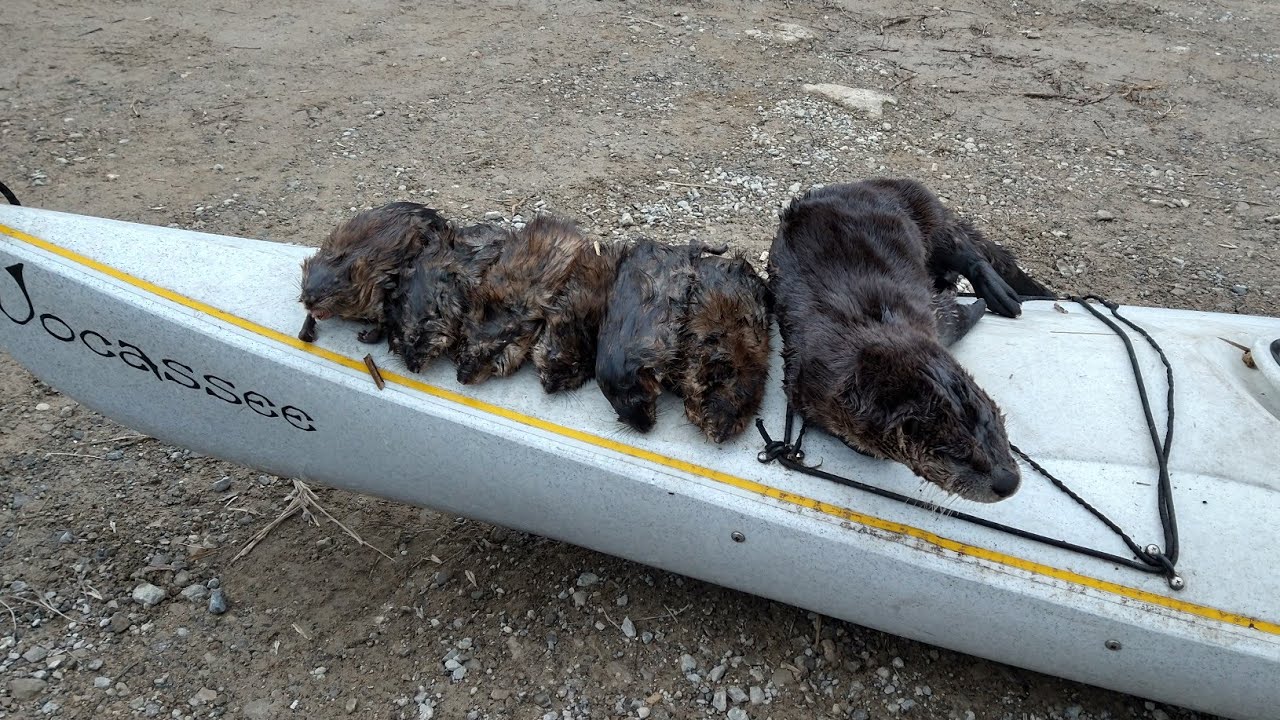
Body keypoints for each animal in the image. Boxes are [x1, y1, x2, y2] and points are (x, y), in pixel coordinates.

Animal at [298, 202, 449, 343]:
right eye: (304, 285)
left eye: (328, 288)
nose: (308, 301)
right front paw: (305, 333)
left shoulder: (382, 283)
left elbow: (384, 318)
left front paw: (364, 336)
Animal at [768, 181, 1035, 503]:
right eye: (960, 456)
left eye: (995, 424)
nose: (1007, 481)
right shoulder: (805, 387)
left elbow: (948, 314)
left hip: (924, 214)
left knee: (963, 249)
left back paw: (998, 294)